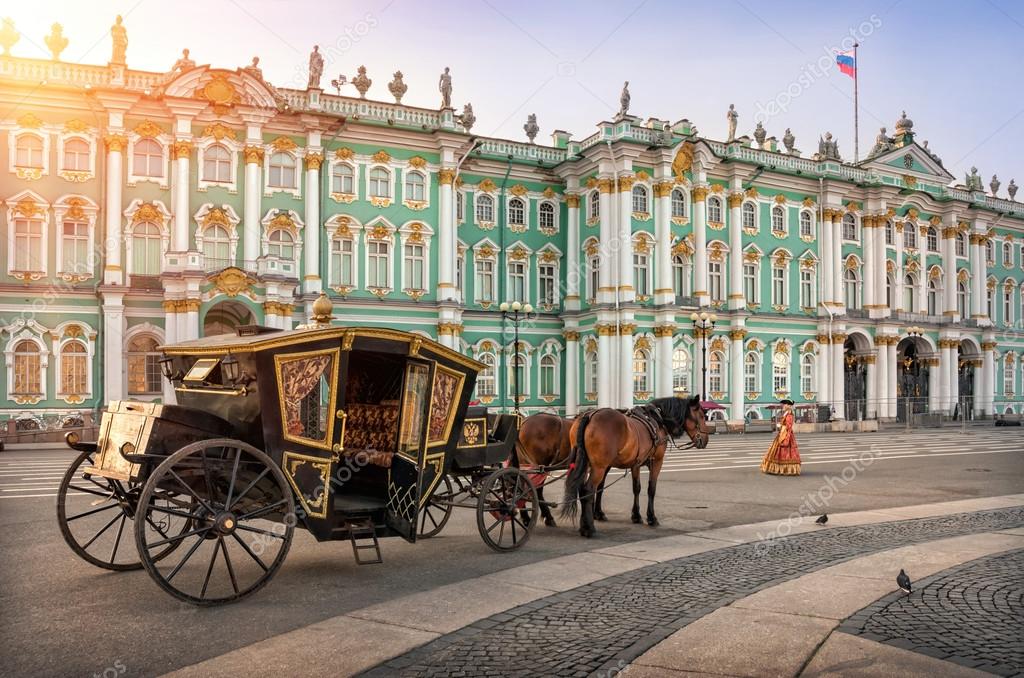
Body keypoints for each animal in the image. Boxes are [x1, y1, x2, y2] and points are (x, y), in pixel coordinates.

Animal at [561, 399, 712, 536]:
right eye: (702, 416)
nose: (705, 440)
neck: (659, 419)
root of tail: (589, 415)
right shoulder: (657, 461)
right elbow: (651, 489)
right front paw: (651, 518)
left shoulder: (636, 464)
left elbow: (636, 488)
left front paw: (636, 515)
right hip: (599, 467)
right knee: (588, 489)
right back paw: (589, 528)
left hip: (586, 464)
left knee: (583, 488)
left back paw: (586, 523)